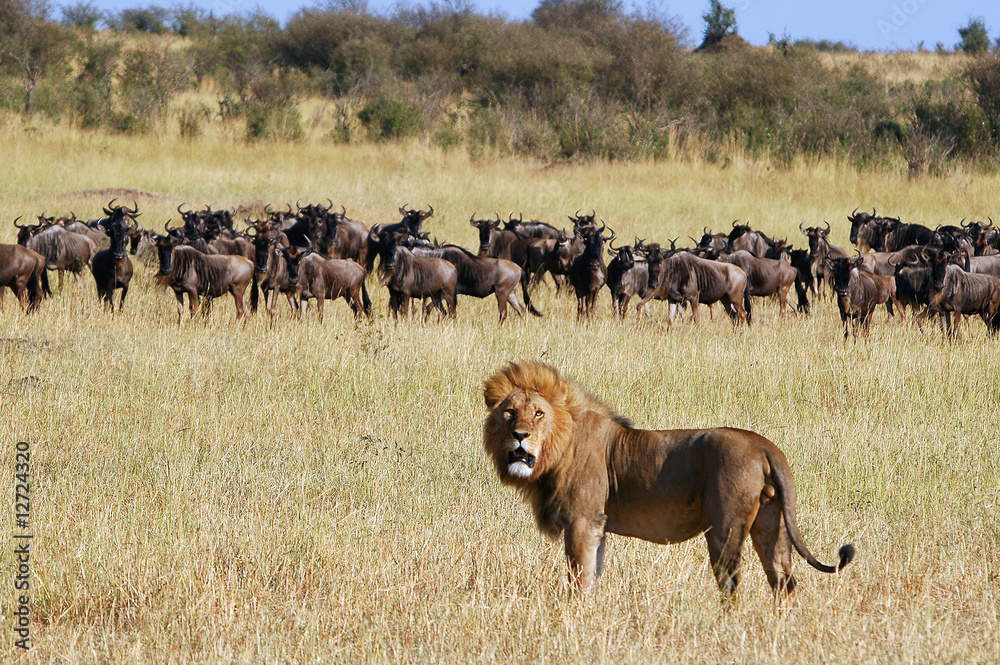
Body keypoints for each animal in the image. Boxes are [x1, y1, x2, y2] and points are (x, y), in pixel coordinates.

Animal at [482, 360, 855, 596]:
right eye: (509, 412)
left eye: (538, 413)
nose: (519, 436)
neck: (559, 446)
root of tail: (764, 445)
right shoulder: (597, 525)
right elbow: (593, 574)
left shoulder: (582, 520)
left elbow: (580, 578)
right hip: (770, 523)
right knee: (783, 581)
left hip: (724, 528)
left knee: (732, 586)